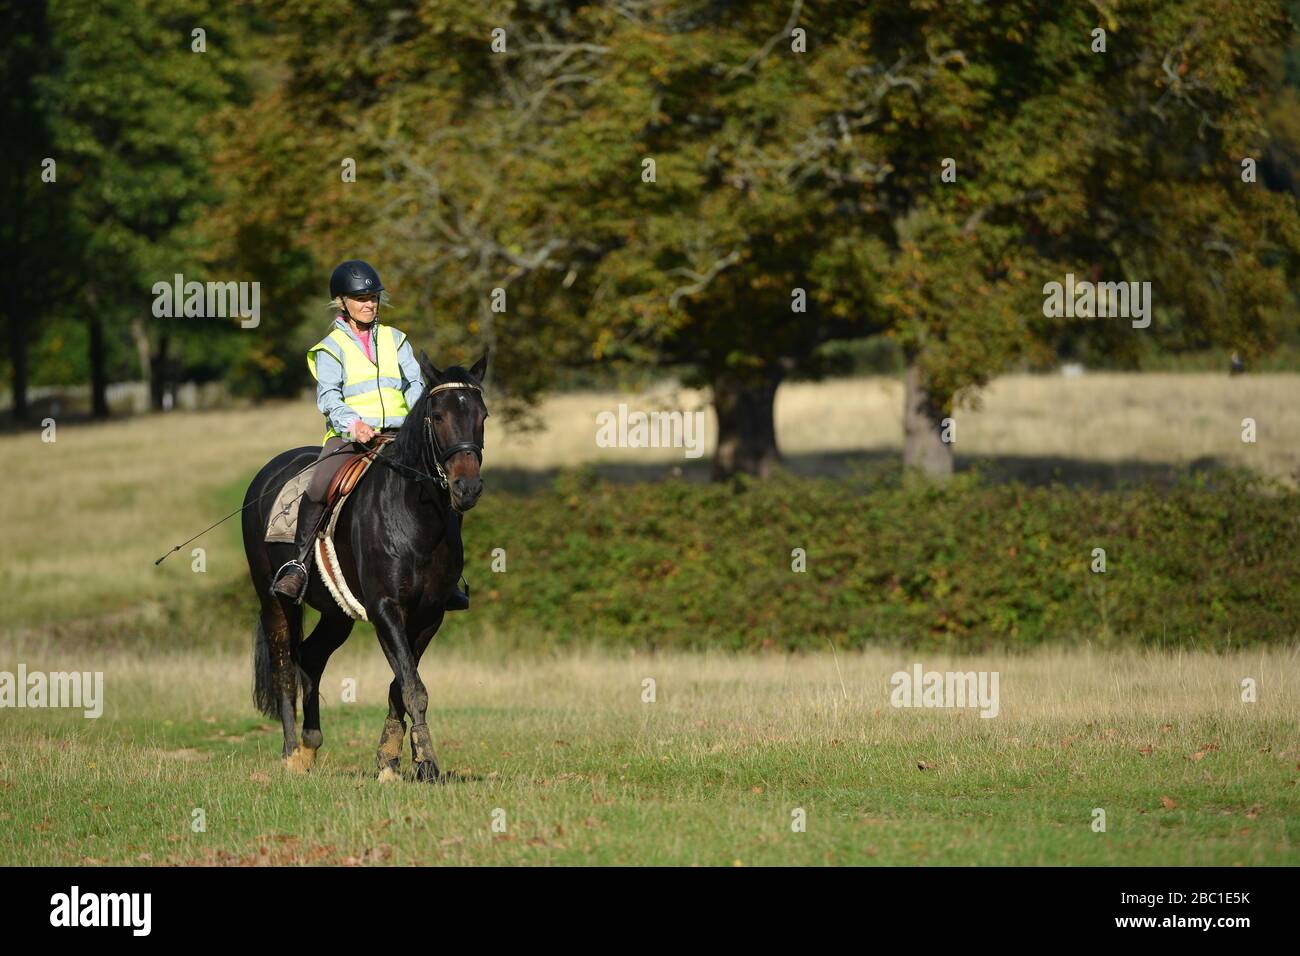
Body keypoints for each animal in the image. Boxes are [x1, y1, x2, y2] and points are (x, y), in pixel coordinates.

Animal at [240, 350, 488, 782]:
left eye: (483, 414)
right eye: (438, 415)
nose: (467, 487)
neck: (413, 514)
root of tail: (266, 475)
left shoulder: (429, 614)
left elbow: (402, 684)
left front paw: (391, 759)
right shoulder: (386, 609)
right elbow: (413, 687)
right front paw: (427, 761)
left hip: (336, 612)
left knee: (312, 657)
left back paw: (310, 746)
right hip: (273, 600)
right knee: (285, 666)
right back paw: (290, 754)